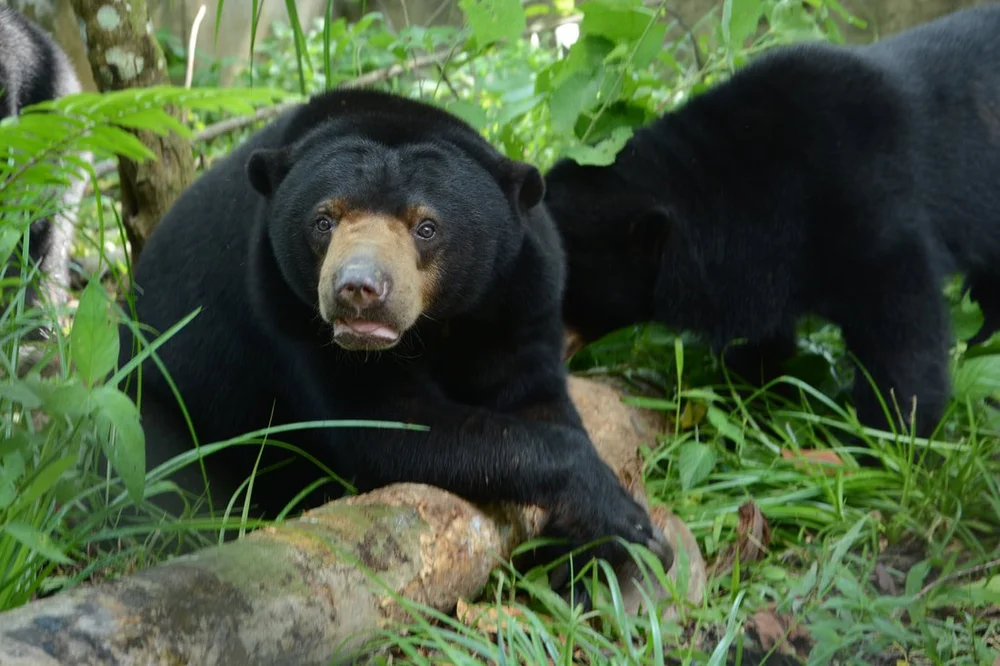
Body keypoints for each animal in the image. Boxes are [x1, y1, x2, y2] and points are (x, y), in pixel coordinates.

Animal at [120, 87, 667, 585]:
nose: (358, 289)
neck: (439, 322)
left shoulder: (520, 295)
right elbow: (388, 426)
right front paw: (630, 525)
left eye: (426, 227)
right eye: (324, 221)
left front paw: (591, 547)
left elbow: (535, 397)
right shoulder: (286, 309)